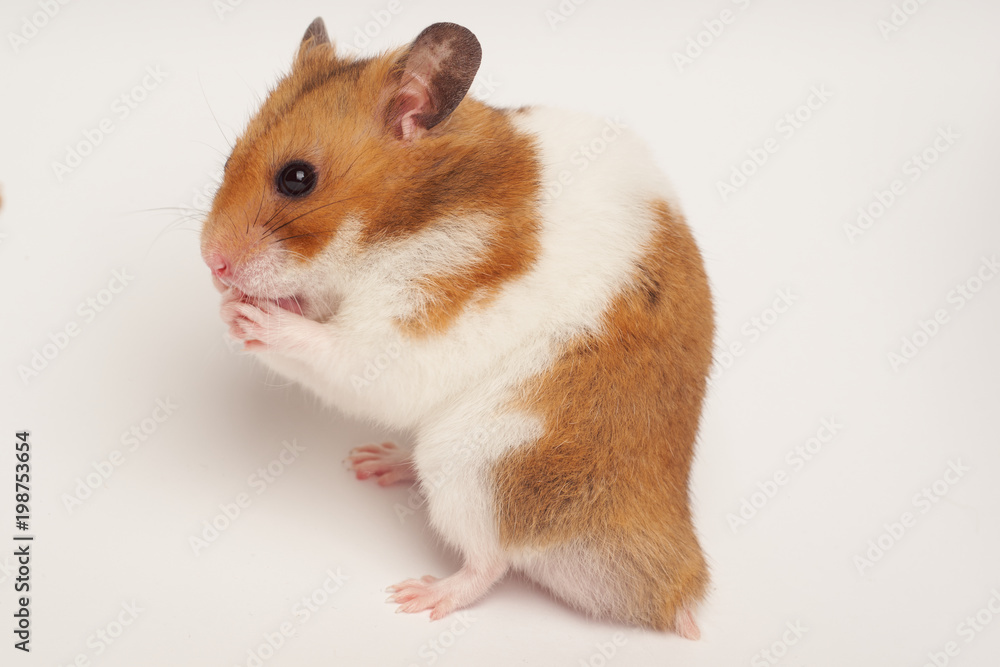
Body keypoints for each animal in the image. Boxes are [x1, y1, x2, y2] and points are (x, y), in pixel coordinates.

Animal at [200, 18, 714, 638]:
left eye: (296, 178)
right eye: (228, 159)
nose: (210, 261)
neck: (410, 215)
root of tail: (676, 588)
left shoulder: (412, 319)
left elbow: (338, 354)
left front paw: (243, 314)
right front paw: (229, 299)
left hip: (478, 467)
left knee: (491, 562)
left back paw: (420, 597)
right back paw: (375, 463)